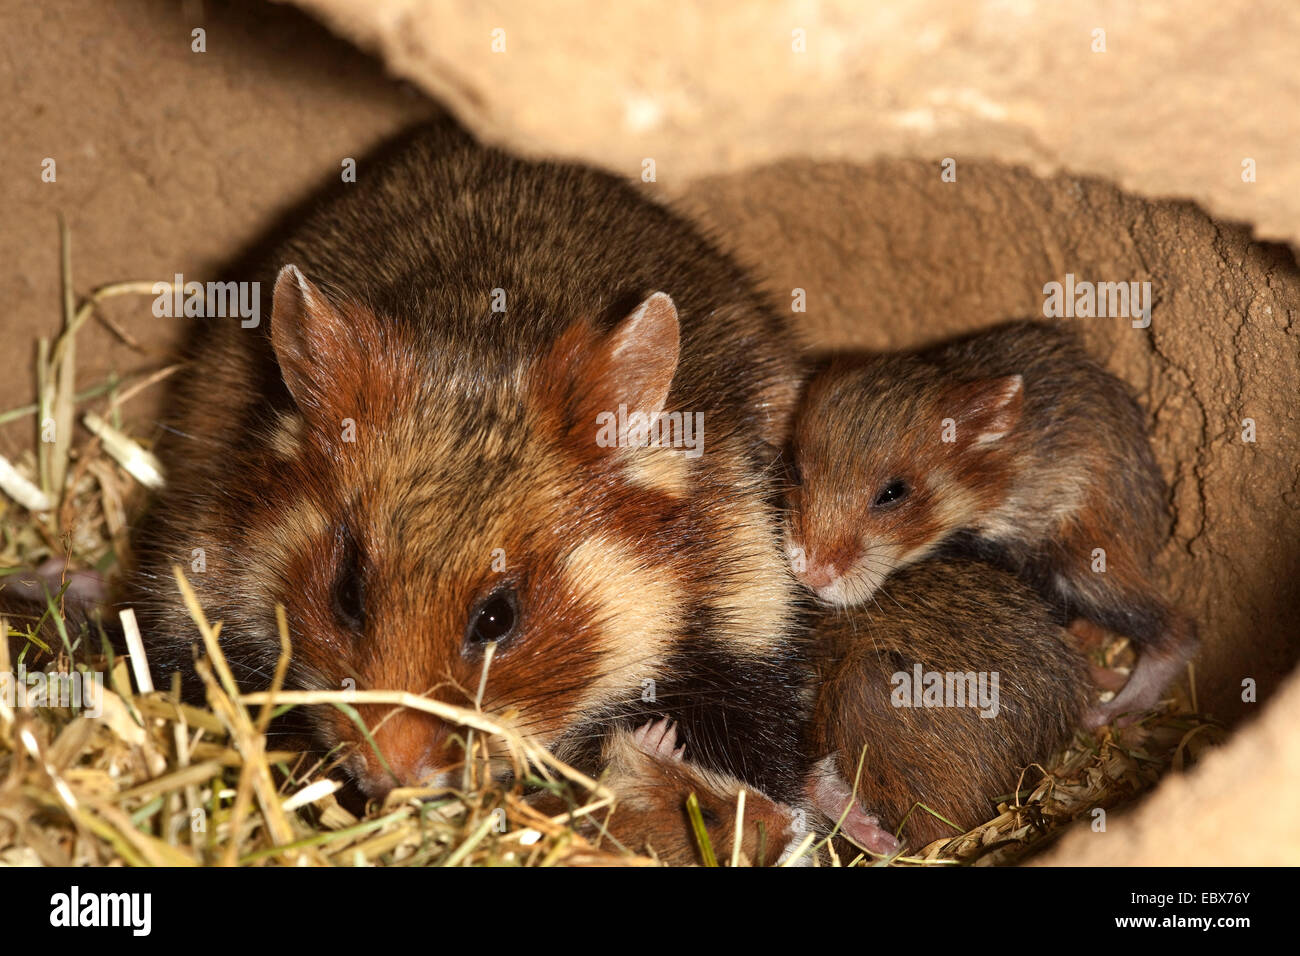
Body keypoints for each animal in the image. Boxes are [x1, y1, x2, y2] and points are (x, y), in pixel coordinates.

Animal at [786, 320, 1196, 726]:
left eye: (893, 493)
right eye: (797, 471)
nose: (810, 577)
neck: (990, 482)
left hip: (1088, 565)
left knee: (1178, 631)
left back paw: (1108, 714)